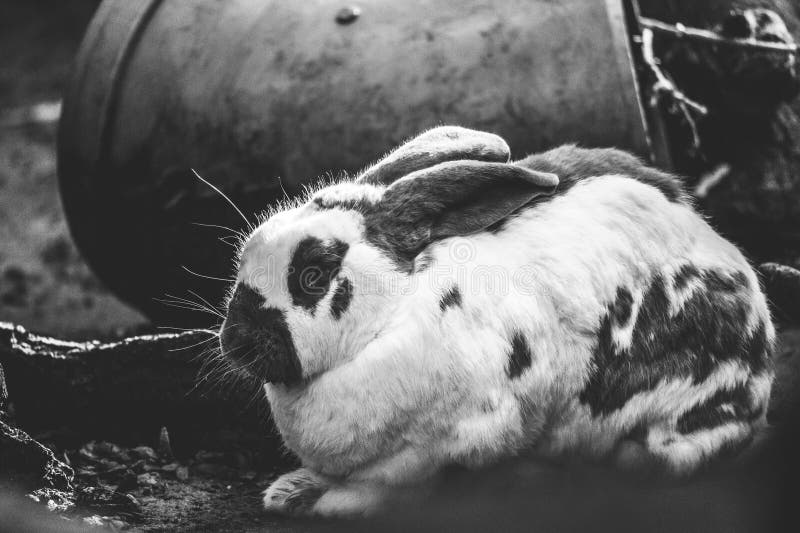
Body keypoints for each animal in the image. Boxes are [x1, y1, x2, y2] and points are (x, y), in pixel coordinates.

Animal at [218, 126, 775, 517]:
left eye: (313, 275)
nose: (235, 342)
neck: (389, 321)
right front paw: (291, 490)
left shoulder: (454, 441)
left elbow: (399, 489)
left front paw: (318, 501)